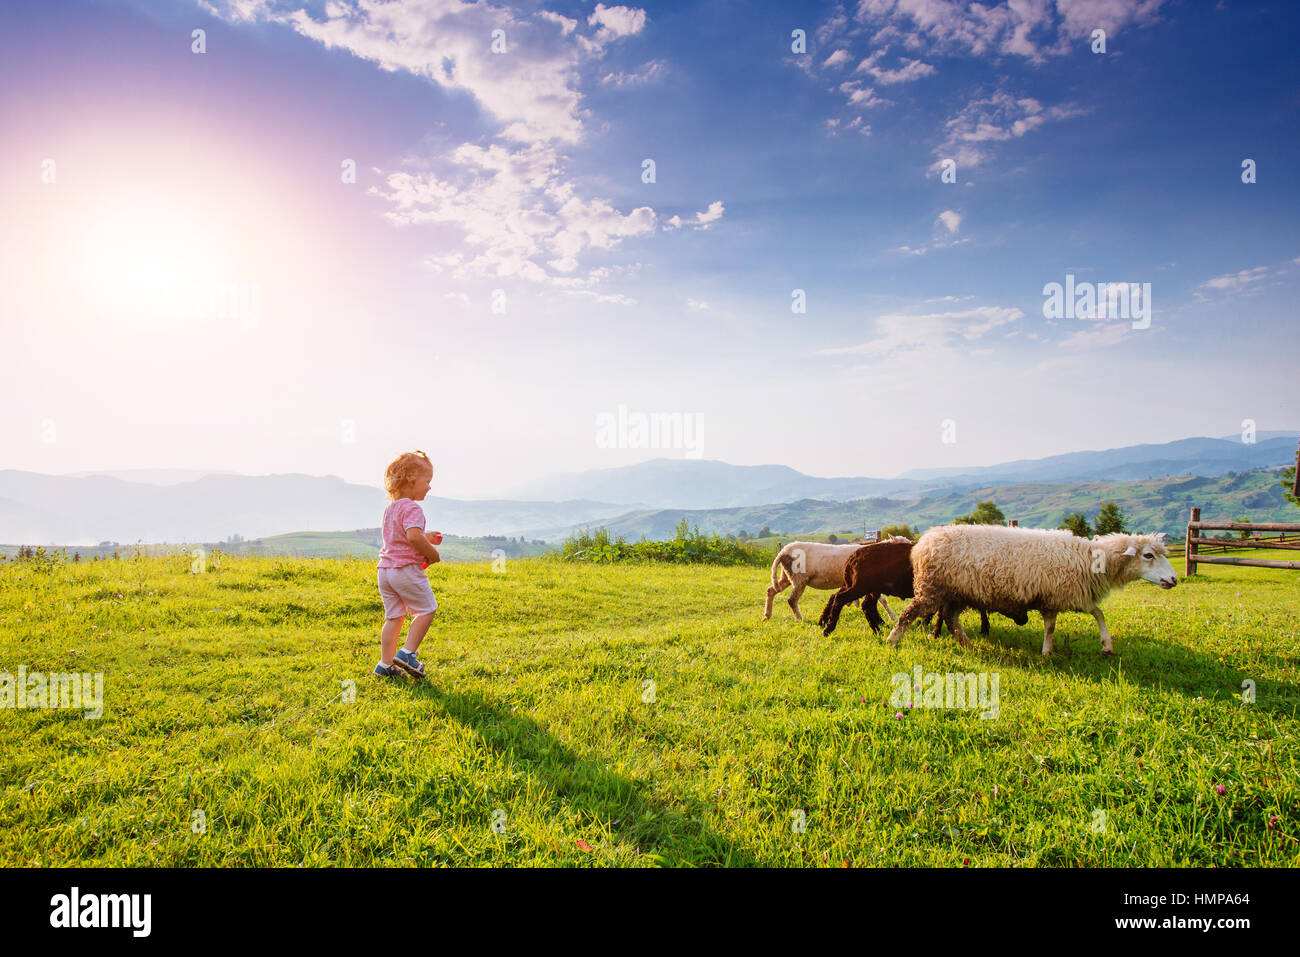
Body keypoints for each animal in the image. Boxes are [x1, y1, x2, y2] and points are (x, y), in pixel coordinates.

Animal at [764, 540, 898, 623]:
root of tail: (783, 551)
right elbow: (883, 600)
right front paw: (893, 618)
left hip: (786, 576)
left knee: (771, 590)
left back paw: (767, 616)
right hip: (798, 578)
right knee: (791, 600)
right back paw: (800, 619)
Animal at [886, 525, 1176, 655]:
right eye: (1149, 555)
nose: (1173, 579)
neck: (1090, 560)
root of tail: (924, 541)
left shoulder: (1064, 597)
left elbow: (1088, 616)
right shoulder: (1061, 596)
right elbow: (1083, 617)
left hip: (958, 592)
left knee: (950, 617)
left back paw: (967, 643)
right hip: (933, 588)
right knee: (909, 614)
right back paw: (892, 640)